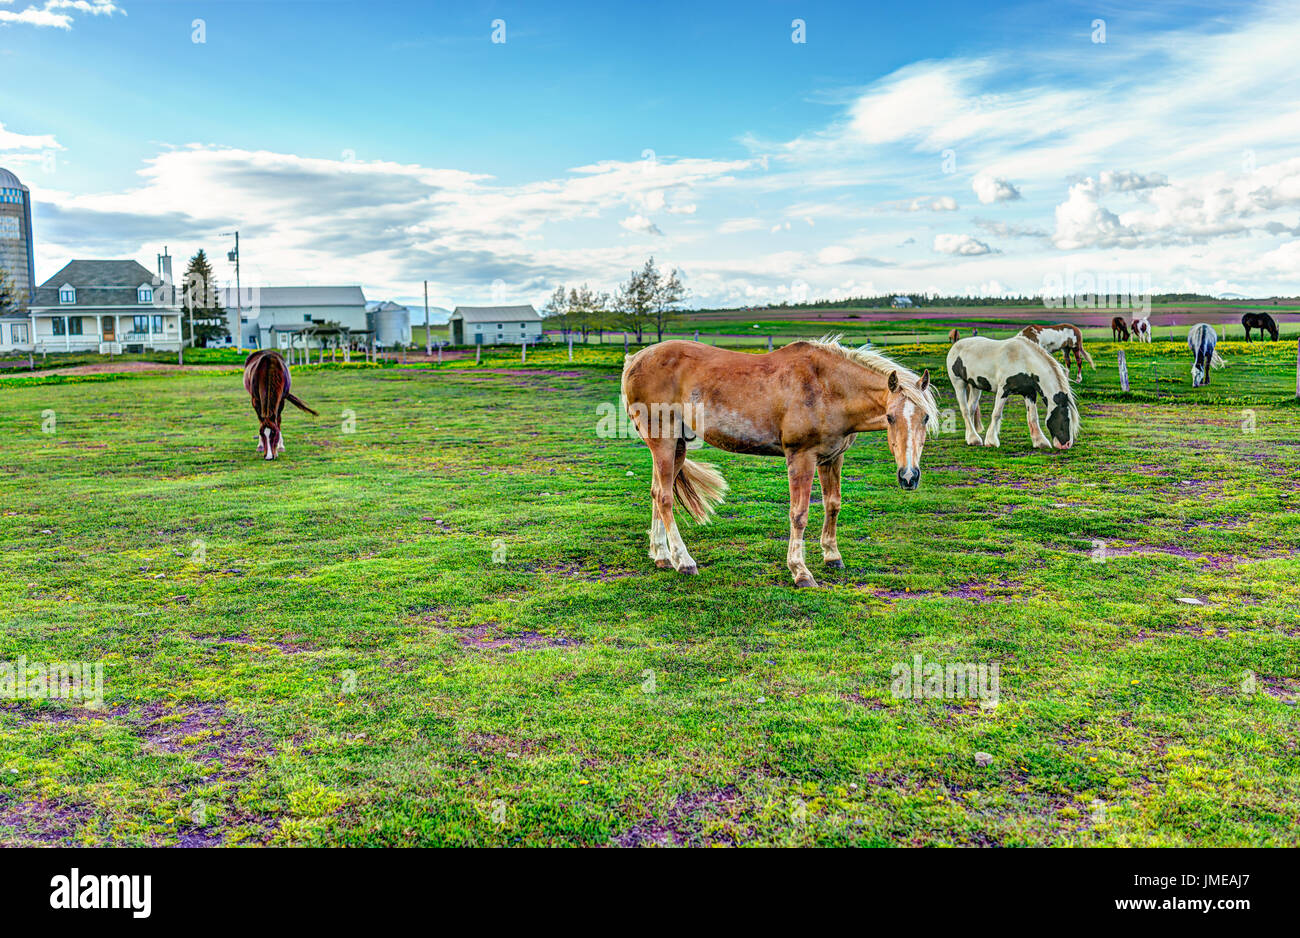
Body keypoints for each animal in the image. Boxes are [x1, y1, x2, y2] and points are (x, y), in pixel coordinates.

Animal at [620, 336, 936, 588]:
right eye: (890, 417)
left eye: (925, 417)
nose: (909, 477)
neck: (827, 387)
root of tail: (634, 359)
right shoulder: (801, 457)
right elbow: (799, 514)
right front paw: (800, 571)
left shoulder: (832, 458)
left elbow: (833, 505)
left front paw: (832, 555)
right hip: (663, 441)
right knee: (664, 498)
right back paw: (684, 561)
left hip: (677, 446)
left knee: (657, 493)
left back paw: (662, 556)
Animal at [946, 335, 1079, 450]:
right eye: (1066, 419)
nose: (1067, 445)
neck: (1024, 361)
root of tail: (956, 346)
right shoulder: (1003, 390)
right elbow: (996, 414)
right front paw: (991, 441)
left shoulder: (1029, 393)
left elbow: (1033, 417)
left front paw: (1040, 442)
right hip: (959, 384)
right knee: (965, 410)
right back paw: (974, 439)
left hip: (975, 387)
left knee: (971, 409)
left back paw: (970, 437)